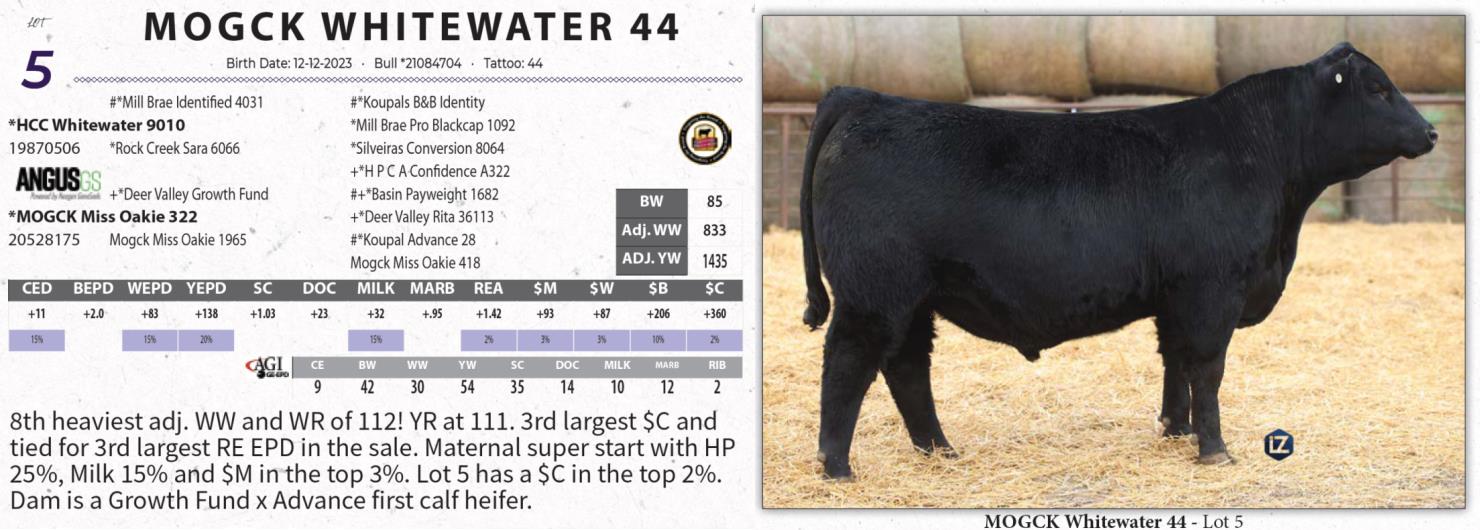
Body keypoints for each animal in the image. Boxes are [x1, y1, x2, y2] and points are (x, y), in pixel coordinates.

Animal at [798, 43, 1437, 480]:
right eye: (1378, 88)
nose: (1431, 132)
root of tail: (867, 97)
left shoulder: (1177, 295)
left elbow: (1175, 360)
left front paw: (1175, 431)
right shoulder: (1212, 290)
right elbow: (1206, 367)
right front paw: (1215, 450)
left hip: (913, 298)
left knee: (907, 367)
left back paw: (940, 449)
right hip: (874, 293)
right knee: (849, 363)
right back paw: (837, 466)